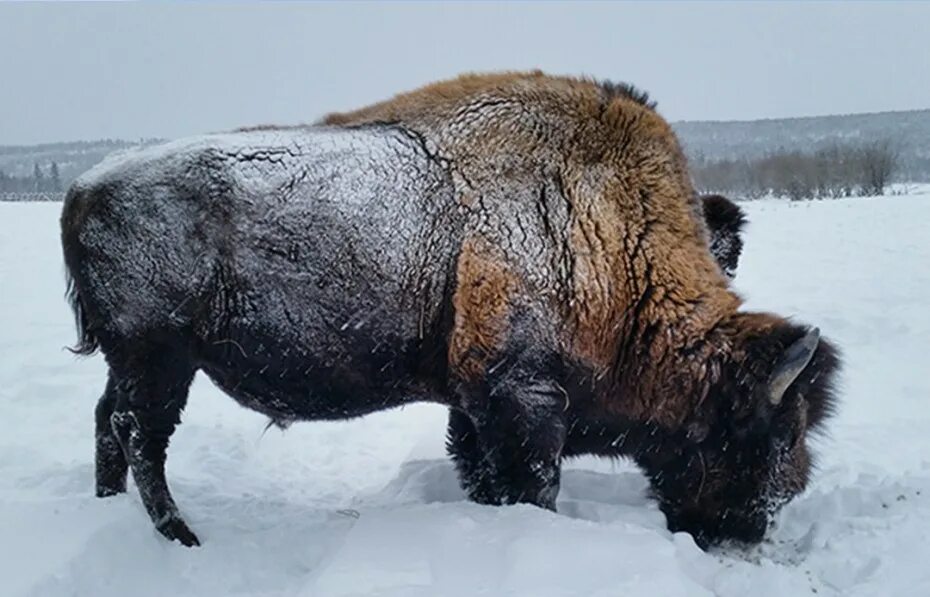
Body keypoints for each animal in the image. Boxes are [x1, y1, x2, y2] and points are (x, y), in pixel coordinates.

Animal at [61, 72, 836, 548]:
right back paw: (182, 535)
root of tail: (83, 188)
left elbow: (483, 472)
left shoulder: (475, 403)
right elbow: (532, 483)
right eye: (778, 435)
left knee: (107, 420)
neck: (610, 236)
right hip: (160, 356)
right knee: (139, 433)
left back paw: (109, 508)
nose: (756, 526)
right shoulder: (523, 397)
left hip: (138, 361)